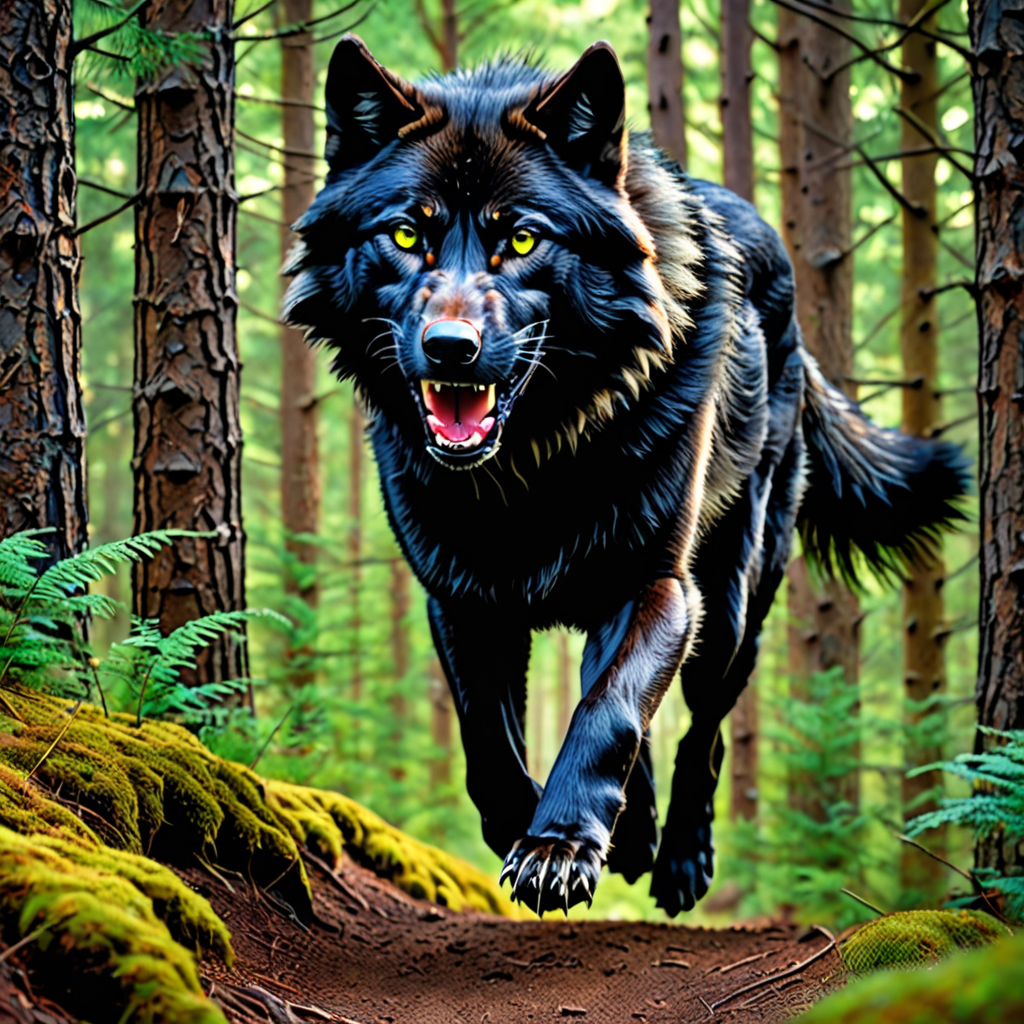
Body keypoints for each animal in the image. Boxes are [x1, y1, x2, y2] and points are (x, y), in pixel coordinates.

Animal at [283, 36, 969, 916]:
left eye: (522, 241)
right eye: (406, 235)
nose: (450, 349)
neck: (533, 467)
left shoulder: (655, 586)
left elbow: (610, 712)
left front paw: (559, 846)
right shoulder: (463, 602)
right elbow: (488, 738)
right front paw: (524, 828)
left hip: (731, 605)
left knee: (698, 731)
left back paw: (677, 858)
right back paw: (634, 835)